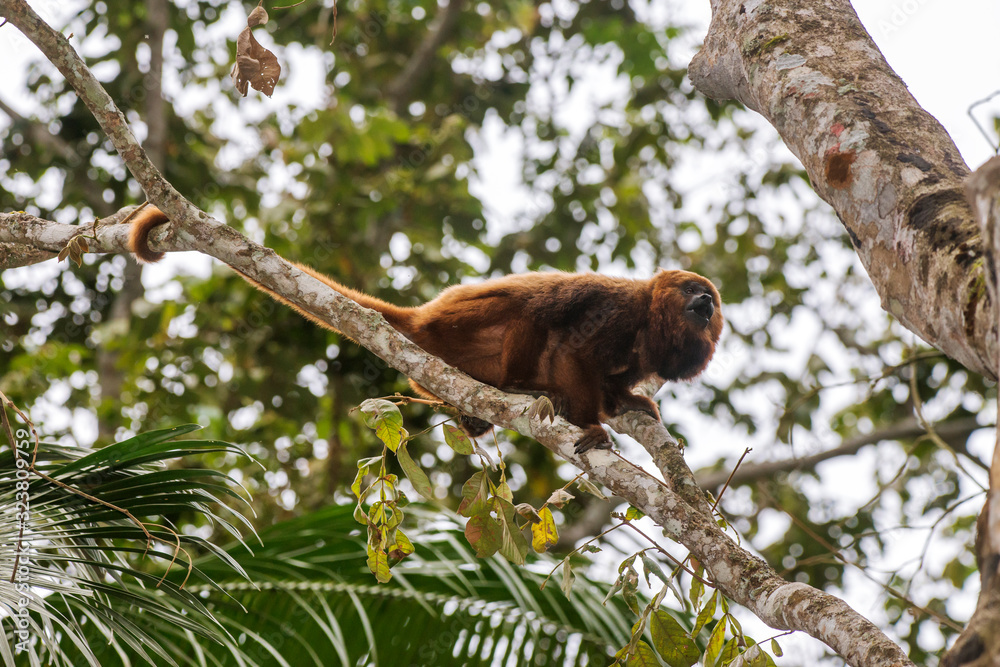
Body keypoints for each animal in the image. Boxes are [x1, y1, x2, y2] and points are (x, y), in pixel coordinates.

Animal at [126, 207, 724, 453]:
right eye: (695, 289)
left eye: (712, 299)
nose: (704, 303)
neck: (650, 324)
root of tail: (422, 317)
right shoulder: (619, 309)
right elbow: (577, 355)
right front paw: (593, 425)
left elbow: (615, 382)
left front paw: (631, 402)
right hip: (461, 325)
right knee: (530, 313)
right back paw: (522, 387)